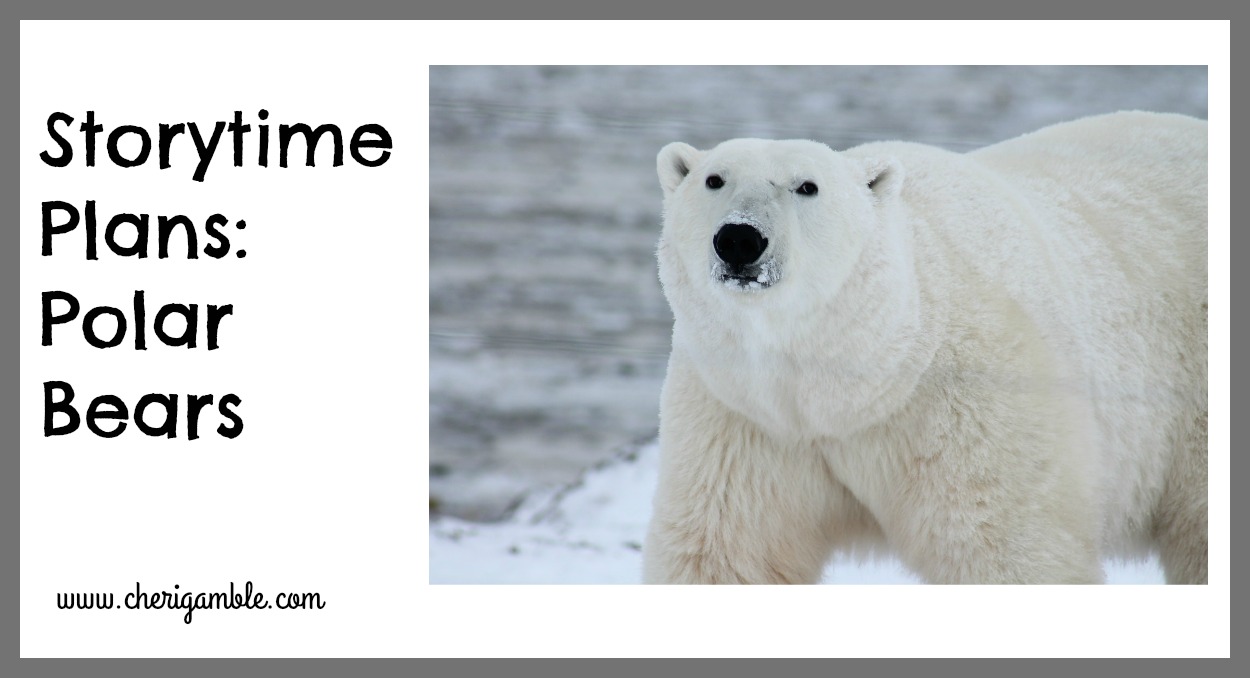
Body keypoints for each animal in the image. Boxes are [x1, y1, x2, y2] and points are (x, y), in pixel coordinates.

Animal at [643, 111, 1207, 584]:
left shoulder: (969, 404)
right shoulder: (745, 417)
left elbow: (1006, 547)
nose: (739, 239)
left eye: (807, 186)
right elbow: (727, 552)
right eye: (714, 179)